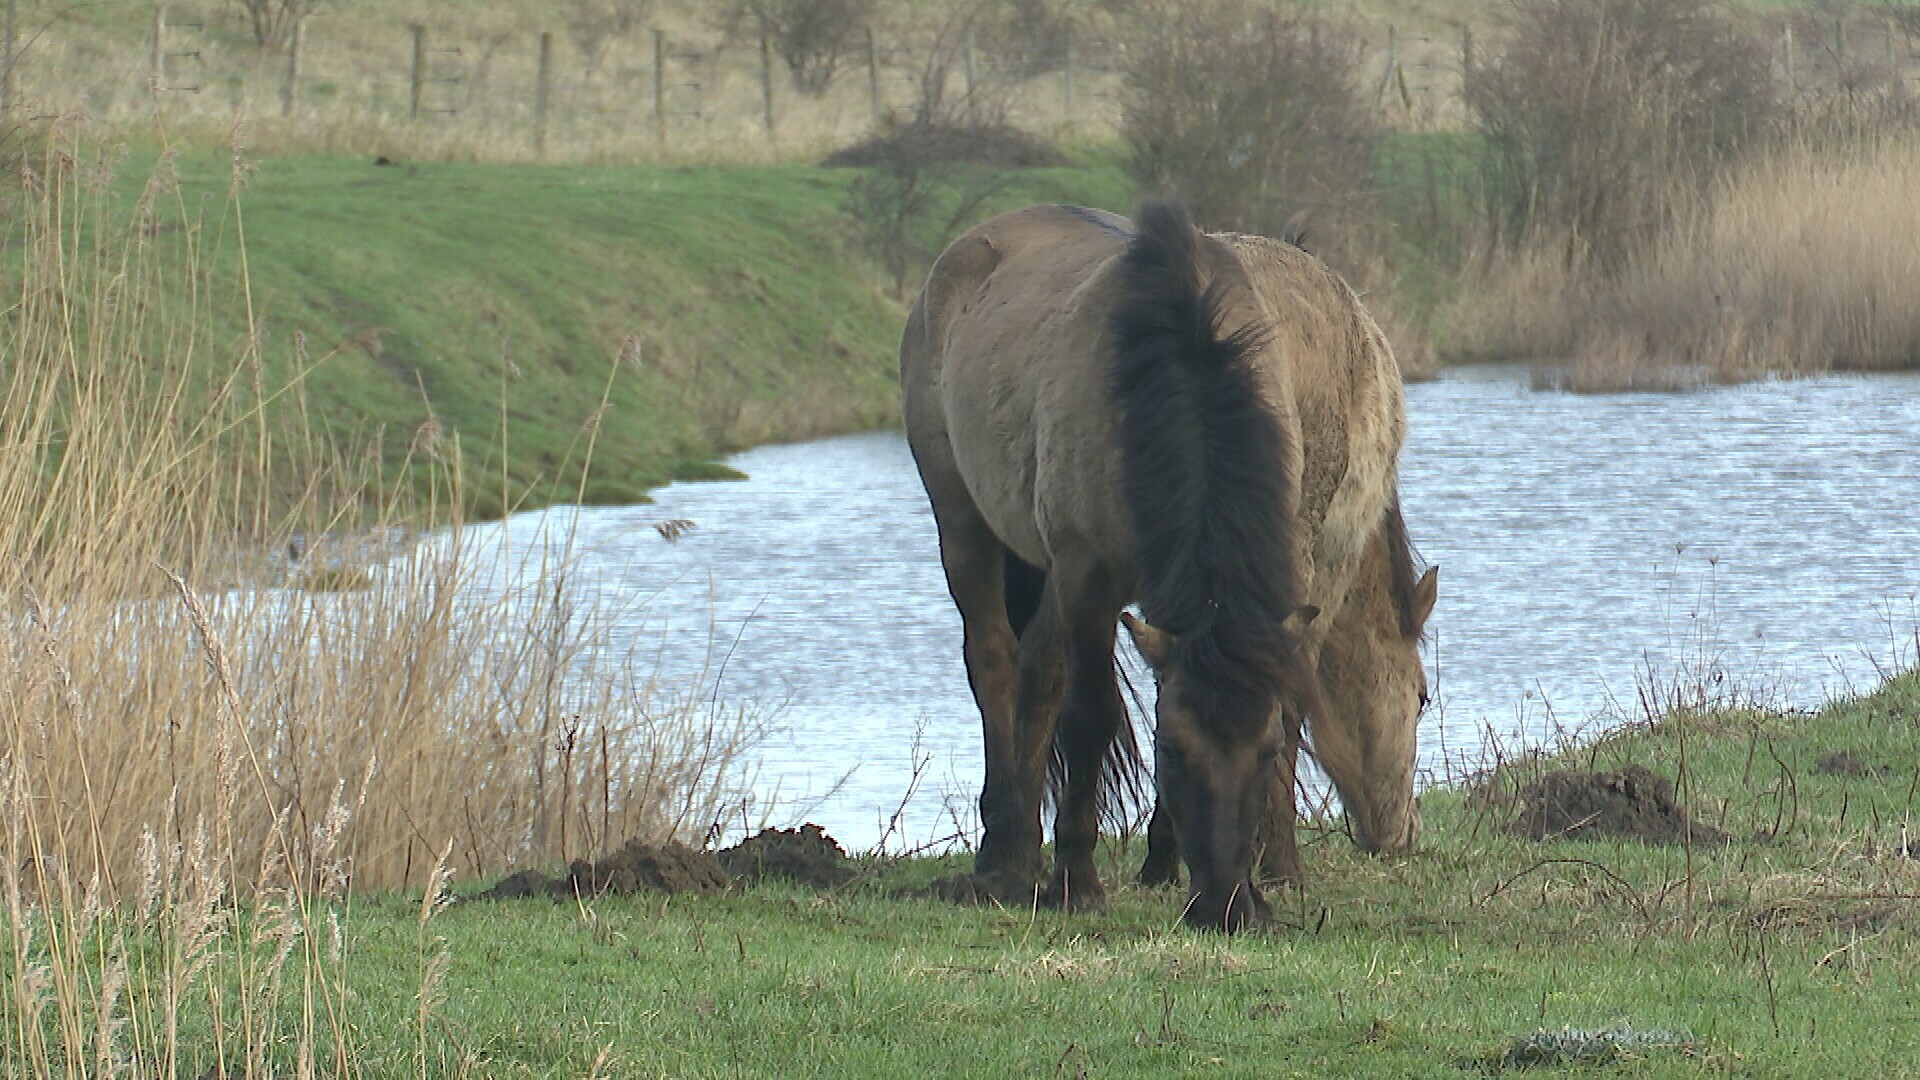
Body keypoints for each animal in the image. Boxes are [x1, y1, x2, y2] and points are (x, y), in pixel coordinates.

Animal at [900, 200, 1435, 931]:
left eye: (1263, 752)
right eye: (1170, 750)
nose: (1226, 908)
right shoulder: (1086, 574)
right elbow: (1089, 716)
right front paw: (1078, 881)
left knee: (1037, 670)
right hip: (963, 522)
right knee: (998, 664)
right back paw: (1004, 855)